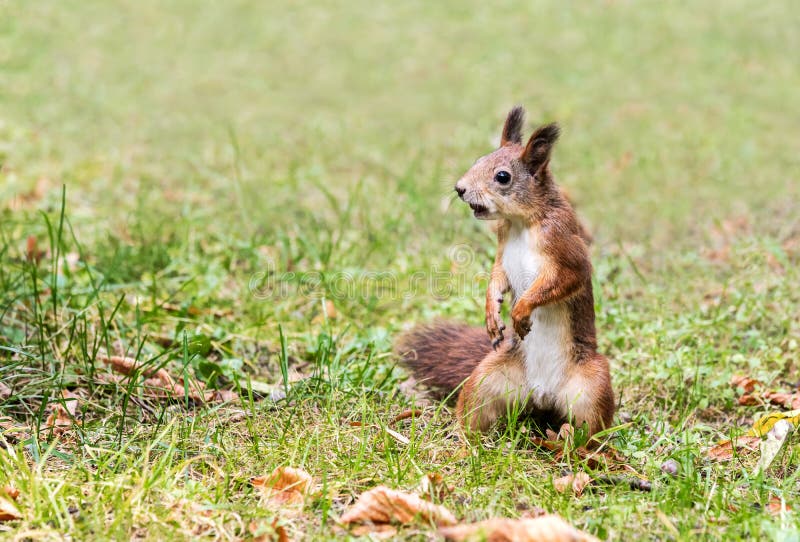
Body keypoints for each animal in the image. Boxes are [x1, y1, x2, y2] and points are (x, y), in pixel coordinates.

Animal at [397, 106, 614, 438]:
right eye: (478, 159)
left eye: (503, 177)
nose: (459, 189)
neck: (521, 222)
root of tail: (542, 396)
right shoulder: (502, 248)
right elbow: (497, 278)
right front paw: (491, 313)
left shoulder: (564, 244)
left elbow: (565, 278)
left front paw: (521, 311)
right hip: (488, 377)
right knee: (475, 411)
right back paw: (462, 438)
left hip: (592, 384)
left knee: (590, 431)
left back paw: (569, 441)